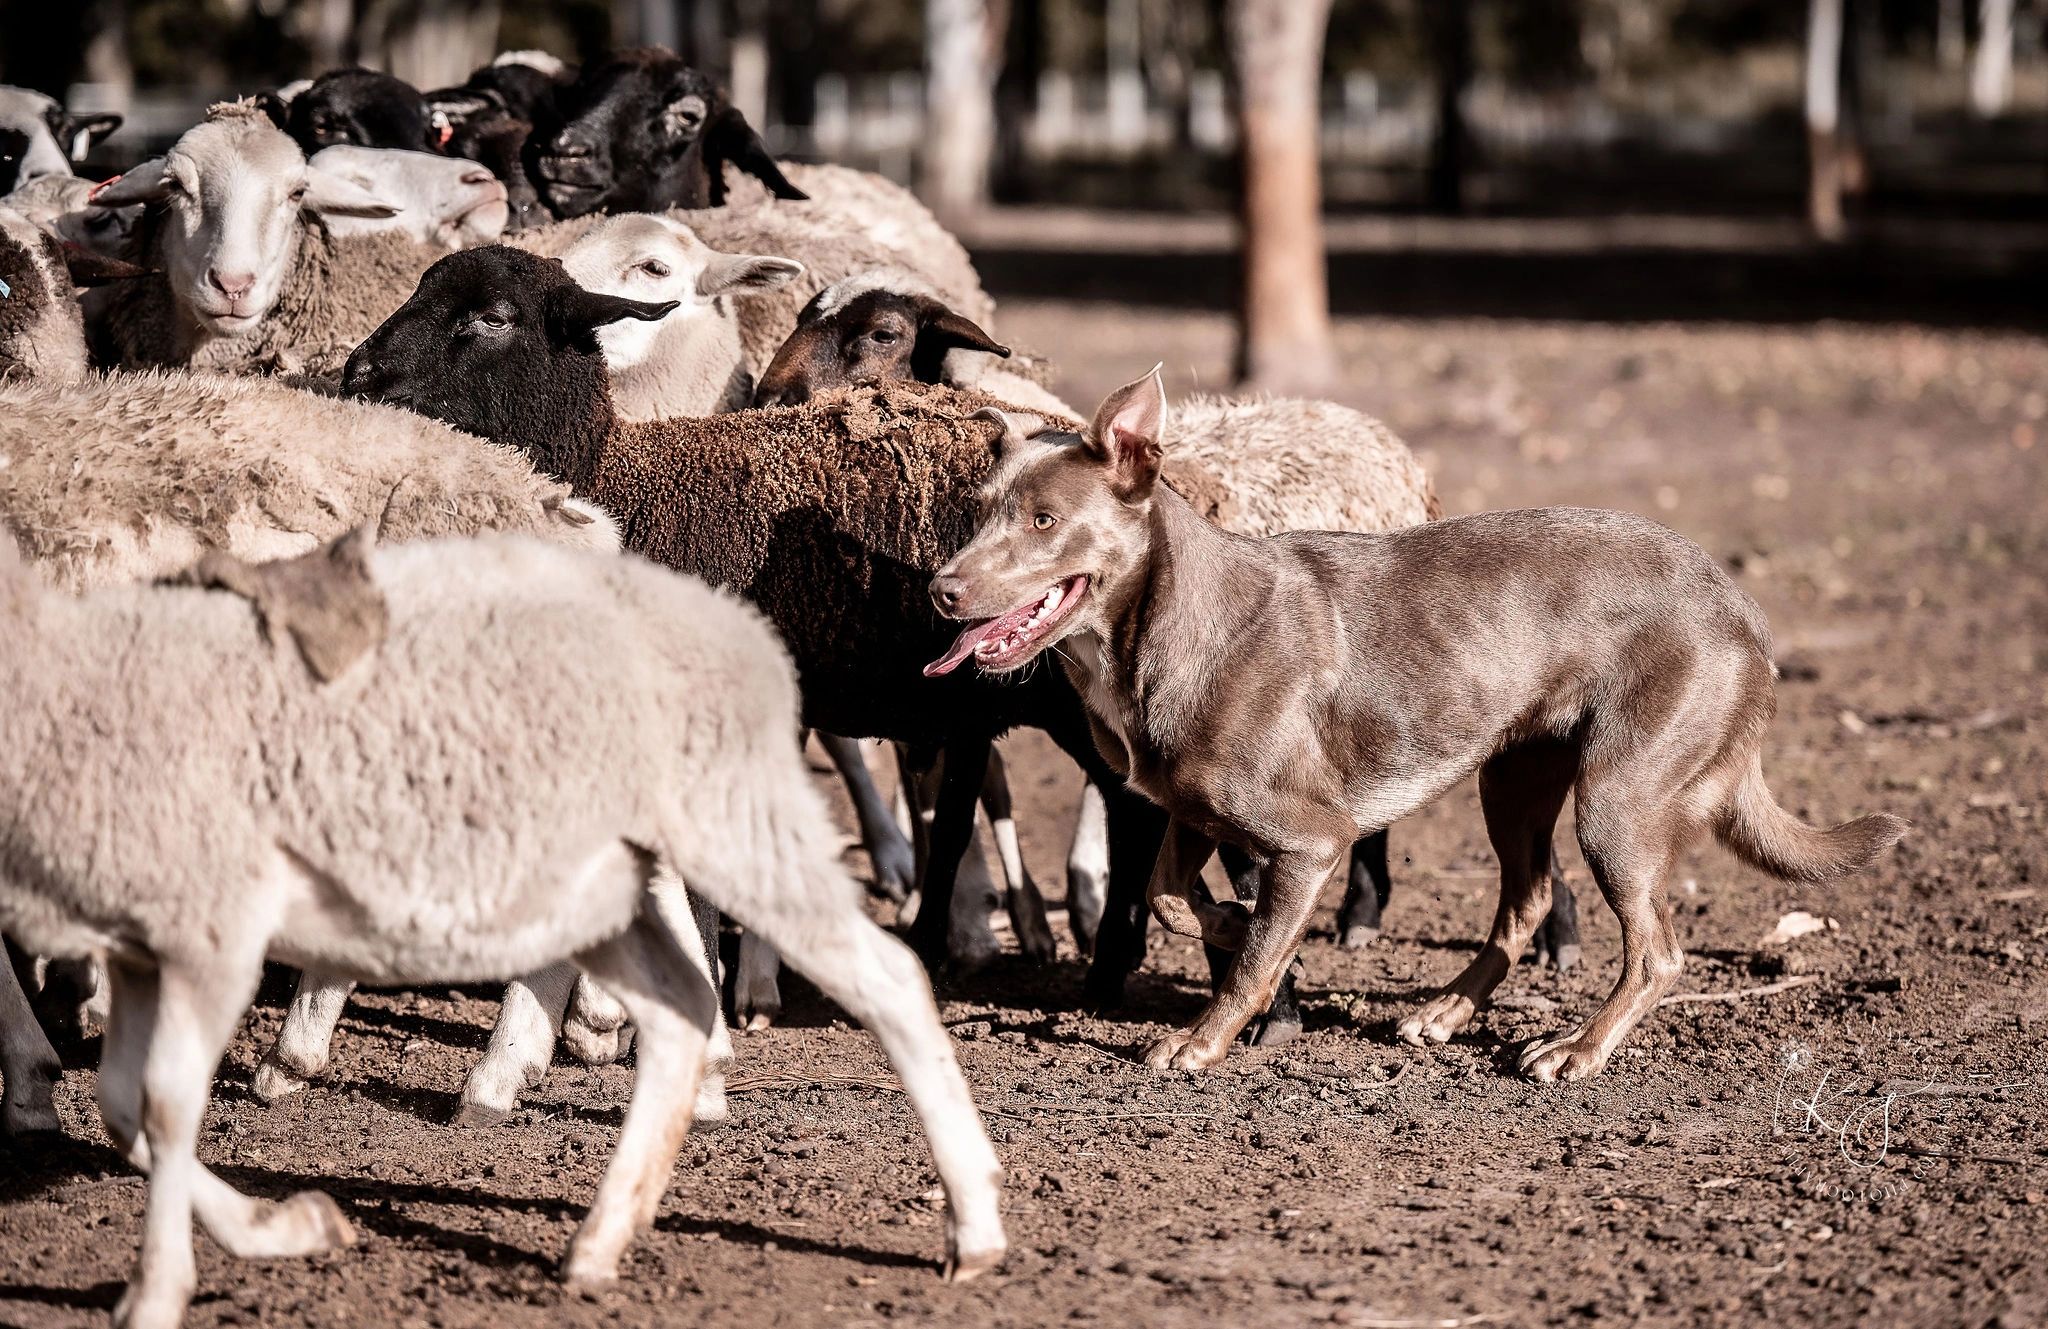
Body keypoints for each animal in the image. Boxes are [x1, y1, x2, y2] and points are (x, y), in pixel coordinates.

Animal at [0, 526, 1007, 1327]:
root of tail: (740, 624)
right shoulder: (140, 945)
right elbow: (123, 1106)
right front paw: (282, 1226)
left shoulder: (210, 929)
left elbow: (167, 1103)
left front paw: (160, 1289)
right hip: (596, 877)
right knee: (682, 1010)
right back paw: (600, 1239)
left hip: (732, 814)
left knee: (888, 978)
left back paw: (976, 1226)